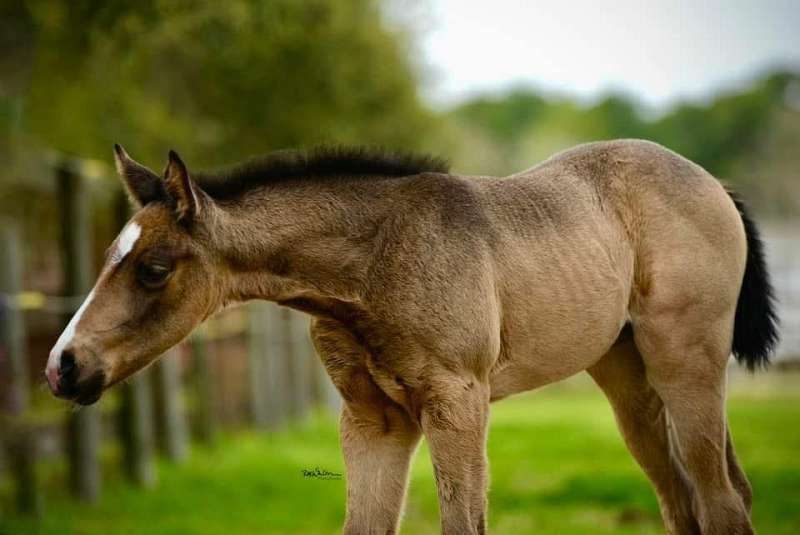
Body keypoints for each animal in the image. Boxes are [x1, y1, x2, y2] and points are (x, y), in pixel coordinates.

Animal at [45, 139, 778, 535]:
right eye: (110, 255)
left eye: (154, 269)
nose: (63, 366)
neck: (373, 262)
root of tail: (712, 181)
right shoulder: (375, 419)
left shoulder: (458, 403)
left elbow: (464, 521)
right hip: (629, 381)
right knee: (694, 499)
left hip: (687, 363)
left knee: (720, 501)